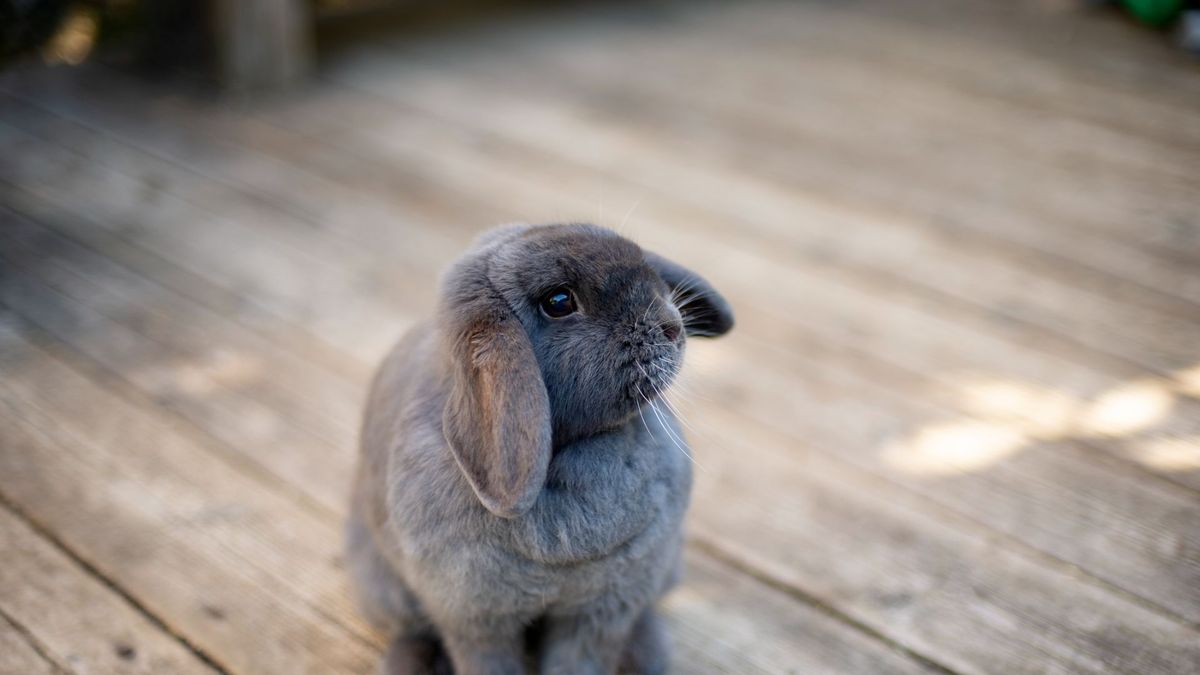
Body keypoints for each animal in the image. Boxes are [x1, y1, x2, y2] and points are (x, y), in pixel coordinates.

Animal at [346, 223, 734, 675]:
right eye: (559, 302)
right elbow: (487, 662)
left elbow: (579, 662)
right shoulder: (475, 618)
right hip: (386, 593)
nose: (672, 326)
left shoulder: (602, 611)